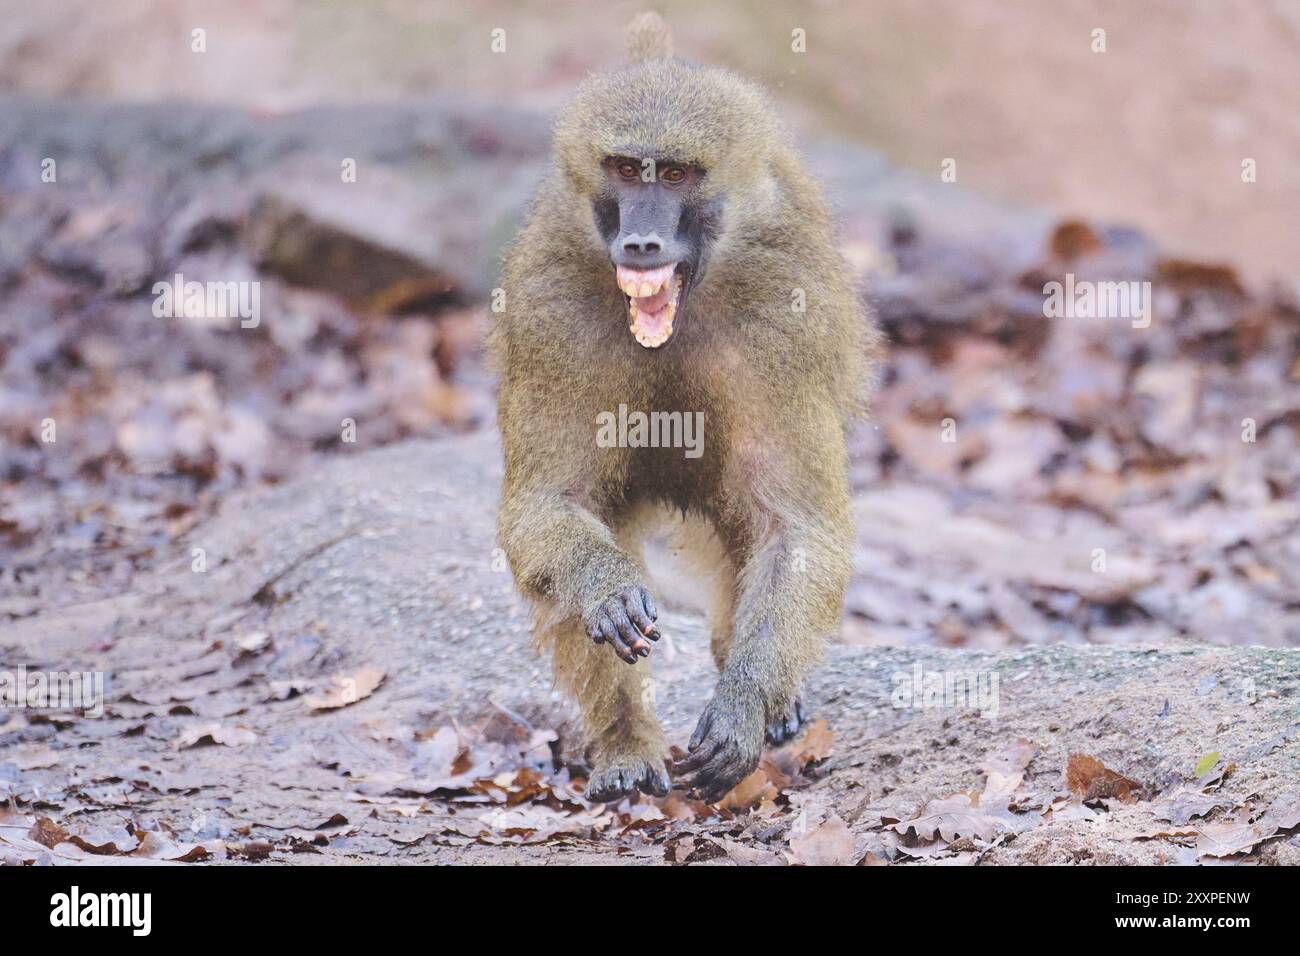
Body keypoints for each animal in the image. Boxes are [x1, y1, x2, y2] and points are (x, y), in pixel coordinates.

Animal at [490, 12, 882, 803]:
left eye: (674, 175)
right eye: (623, 169)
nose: (641, 241)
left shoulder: (785, 320)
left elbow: (794, 529)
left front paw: (743, 708)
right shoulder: (549, 309)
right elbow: (548, 506)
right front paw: (608, 592)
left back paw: (770, 700)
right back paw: (626, 748)